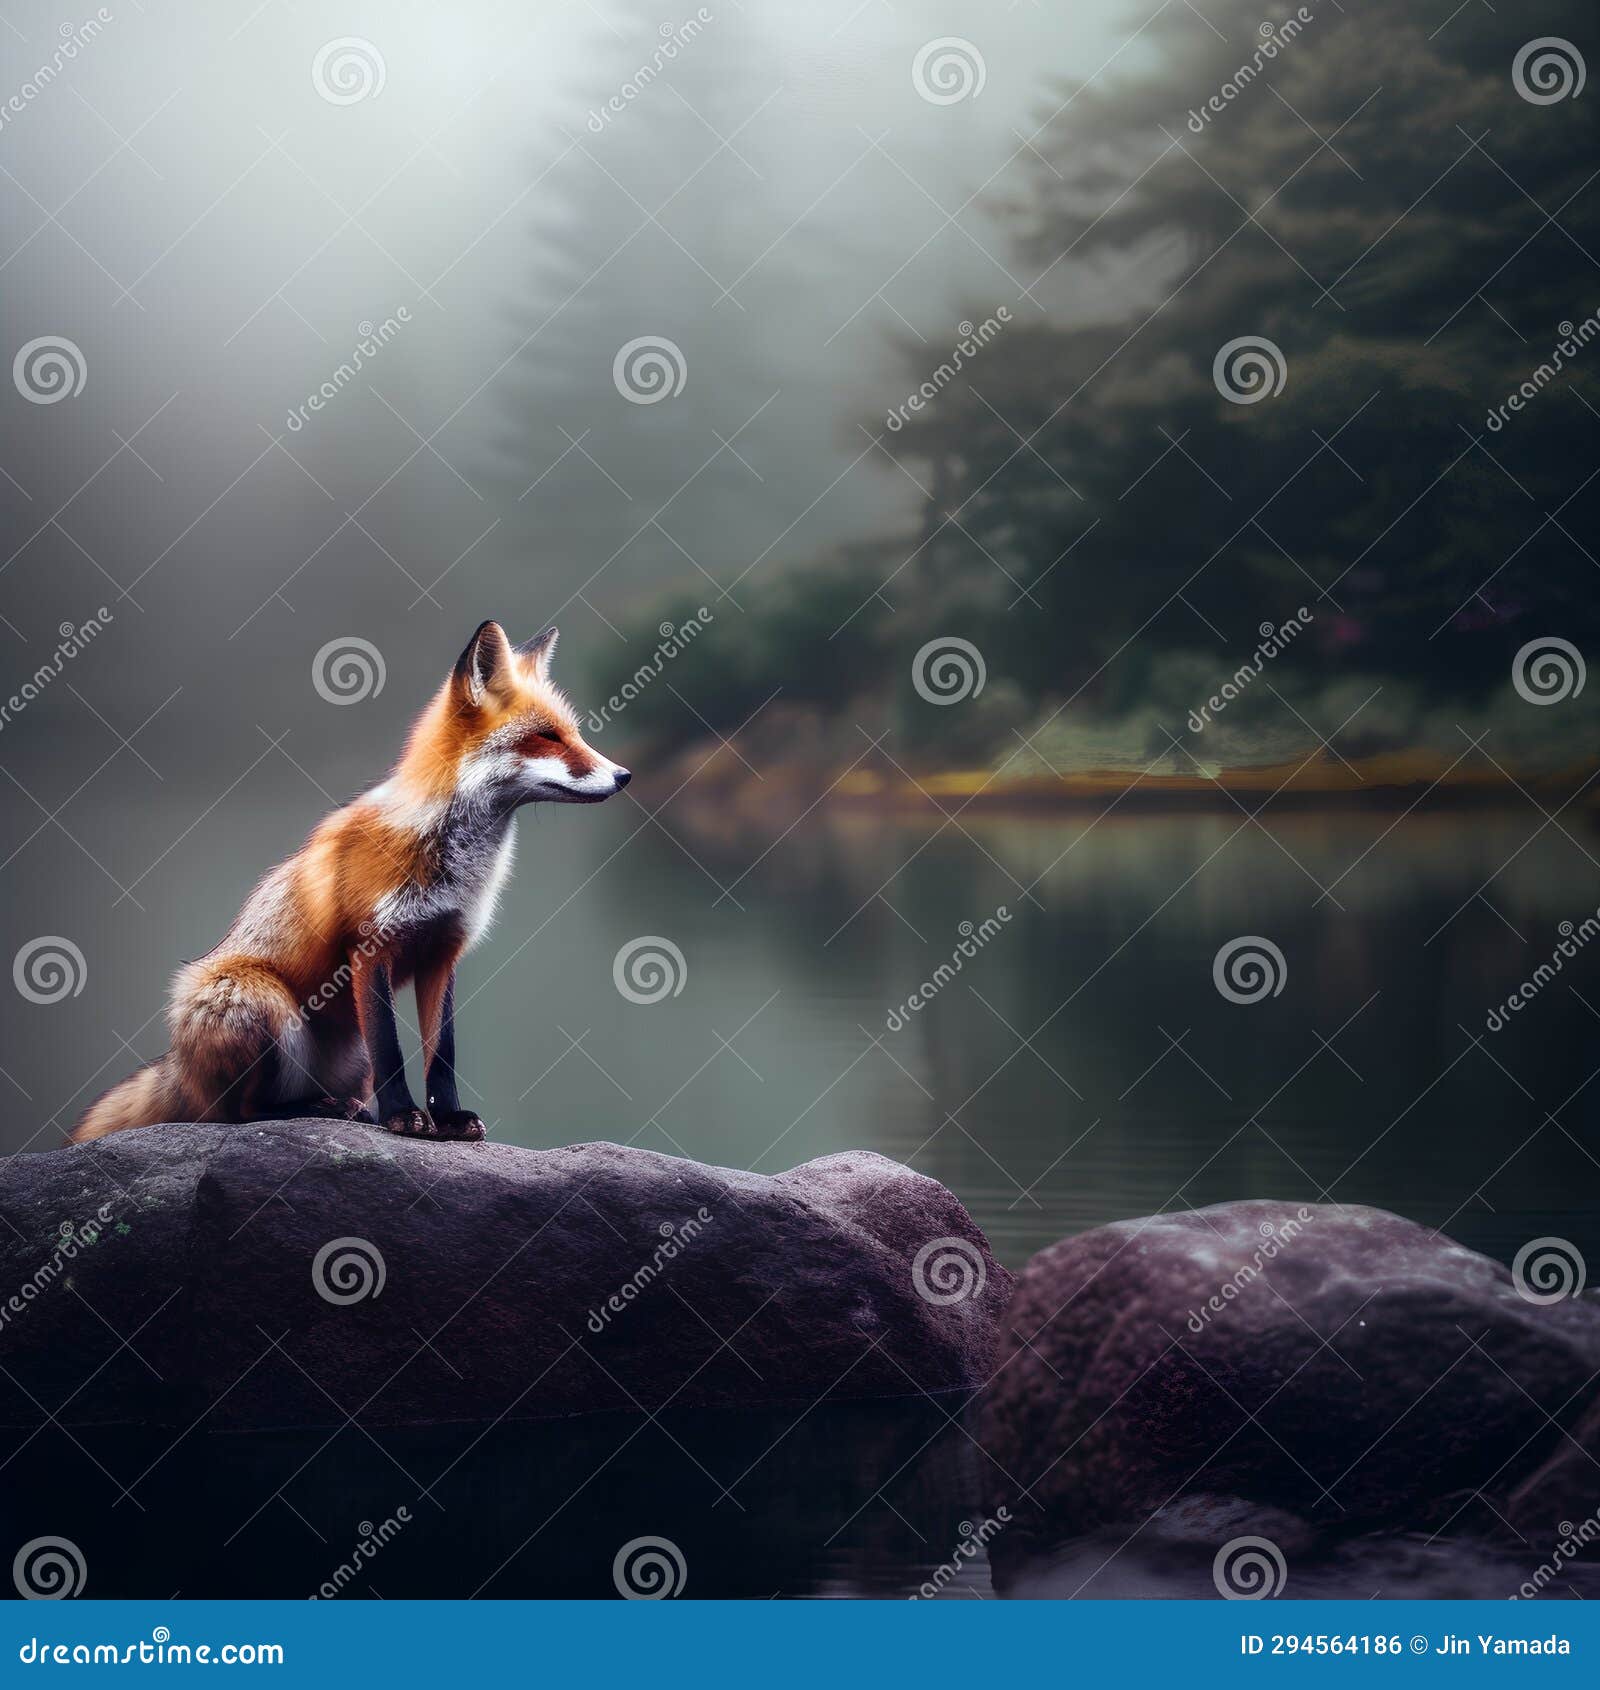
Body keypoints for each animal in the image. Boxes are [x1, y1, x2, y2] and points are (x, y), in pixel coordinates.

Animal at [70, 621, 629, 1145]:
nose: (623, 776)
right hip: (261, 999)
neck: (449, 856)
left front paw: (448, 1119)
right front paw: (404, 1117)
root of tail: (176, 1067)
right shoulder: (368, 947)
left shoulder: (442, 952)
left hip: (344, 1051)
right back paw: (324, 1110)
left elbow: (442, 1054)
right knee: (237, 1114)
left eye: (574, 734)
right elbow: (392, 1050)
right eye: (547, 736)